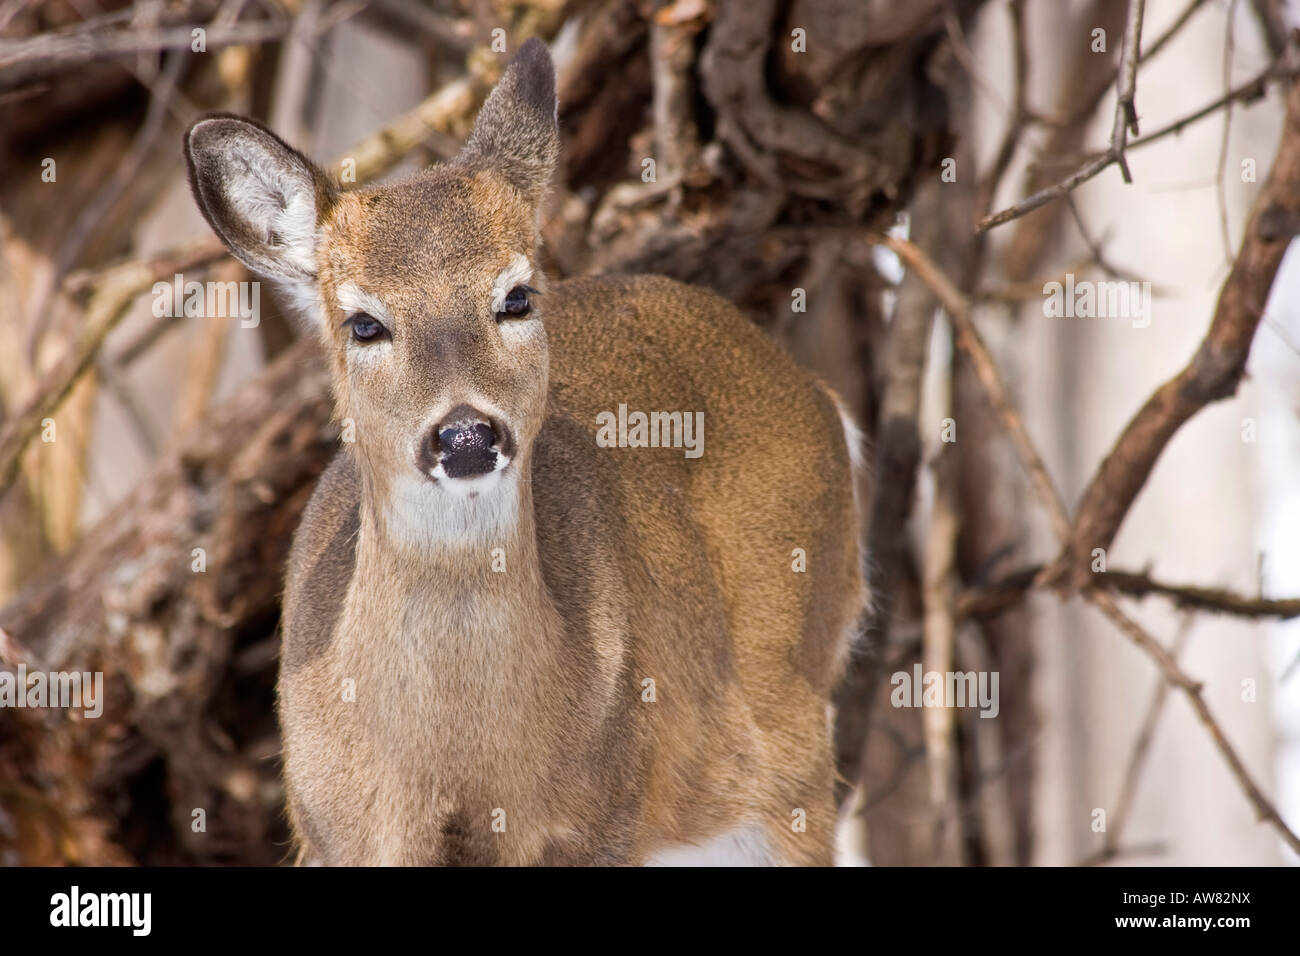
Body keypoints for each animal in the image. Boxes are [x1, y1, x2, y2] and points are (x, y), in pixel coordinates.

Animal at [184, 37, 867, 866]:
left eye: (515, 297)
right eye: (363, 323)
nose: (466, 434)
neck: (450, 766)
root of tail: (810, 387)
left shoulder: (601, 823)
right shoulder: (331, 835)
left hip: (791, 749)